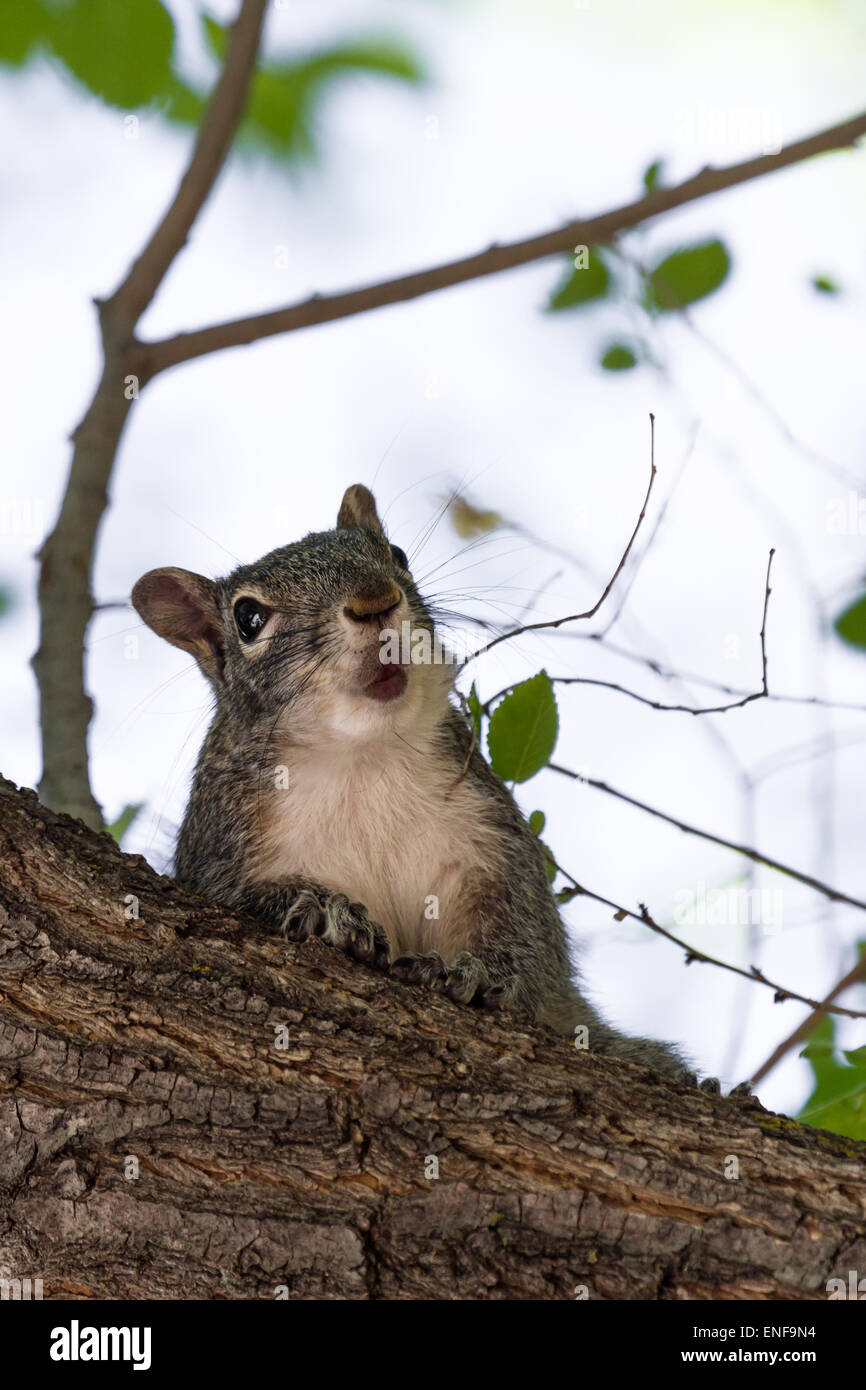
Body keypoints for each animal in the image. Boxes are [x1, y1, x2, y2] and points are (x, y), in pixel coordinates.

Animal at [132, 483, 710, 1086]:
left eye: (398, 555)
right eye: (248, 619)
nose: (375, 601)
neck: (364, 757)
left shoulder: (490, 835)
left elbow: (530, 930)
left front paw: (482, 971)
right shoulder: (217, 845)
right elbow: (231, 895)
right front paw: (322, 906)